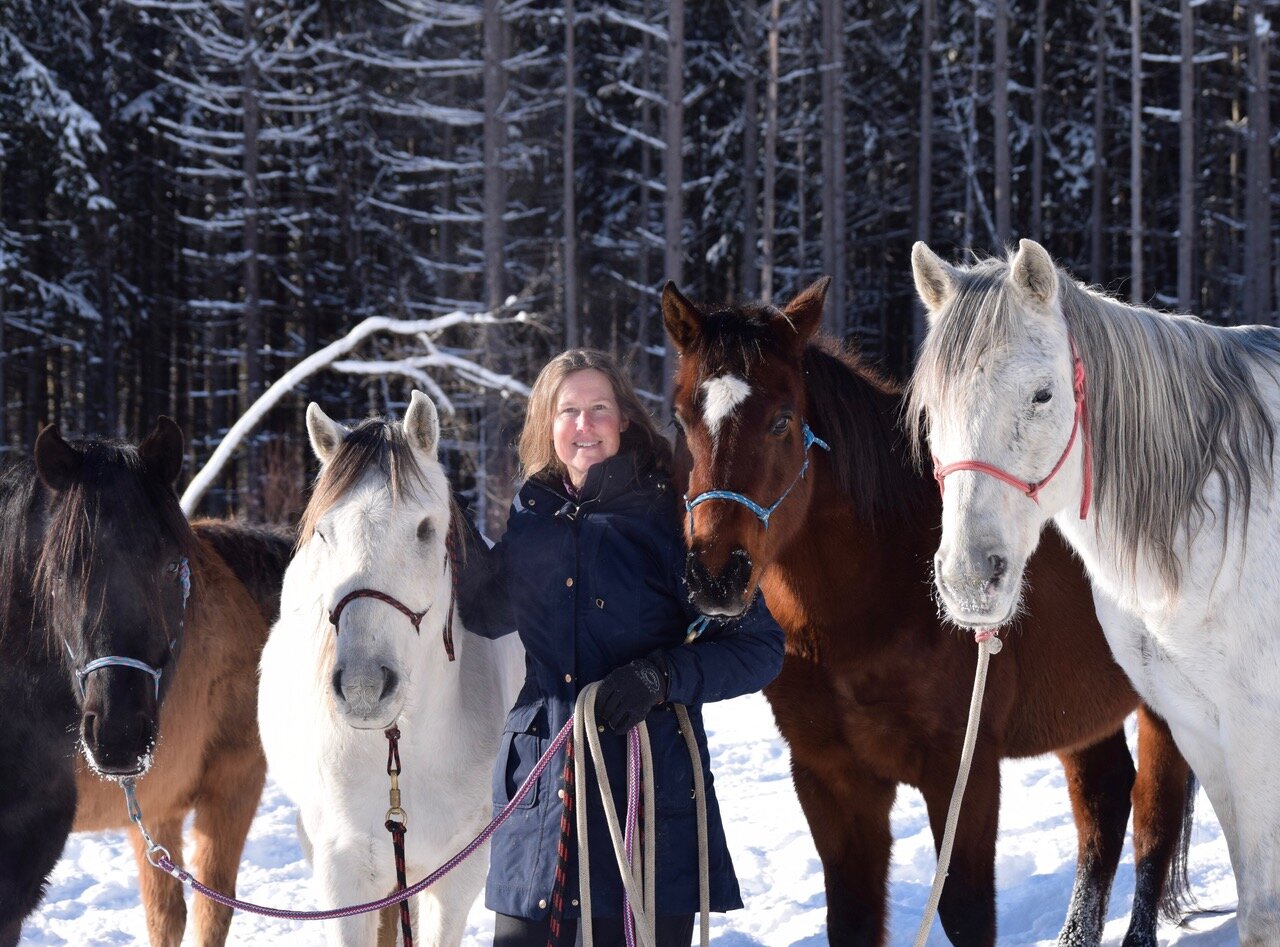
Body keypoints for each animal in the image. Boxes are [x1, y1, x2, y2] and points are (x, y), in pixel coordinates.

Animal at [259, 390, 523, 946]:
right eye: (323, 533)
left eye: (425, 529)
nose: (363, 688)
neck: (402, 744)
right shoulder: (342, 872)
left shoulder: (458, 870)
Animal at [661, 279, 1194, 947]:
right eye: (681, 418)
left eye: (782, 420)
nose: (715, 575)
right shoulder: (830, 779)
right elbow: (853, 920)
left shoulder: (962, 771)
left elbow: (966, 912)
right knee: (1104, 799)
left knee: (1154, 812)